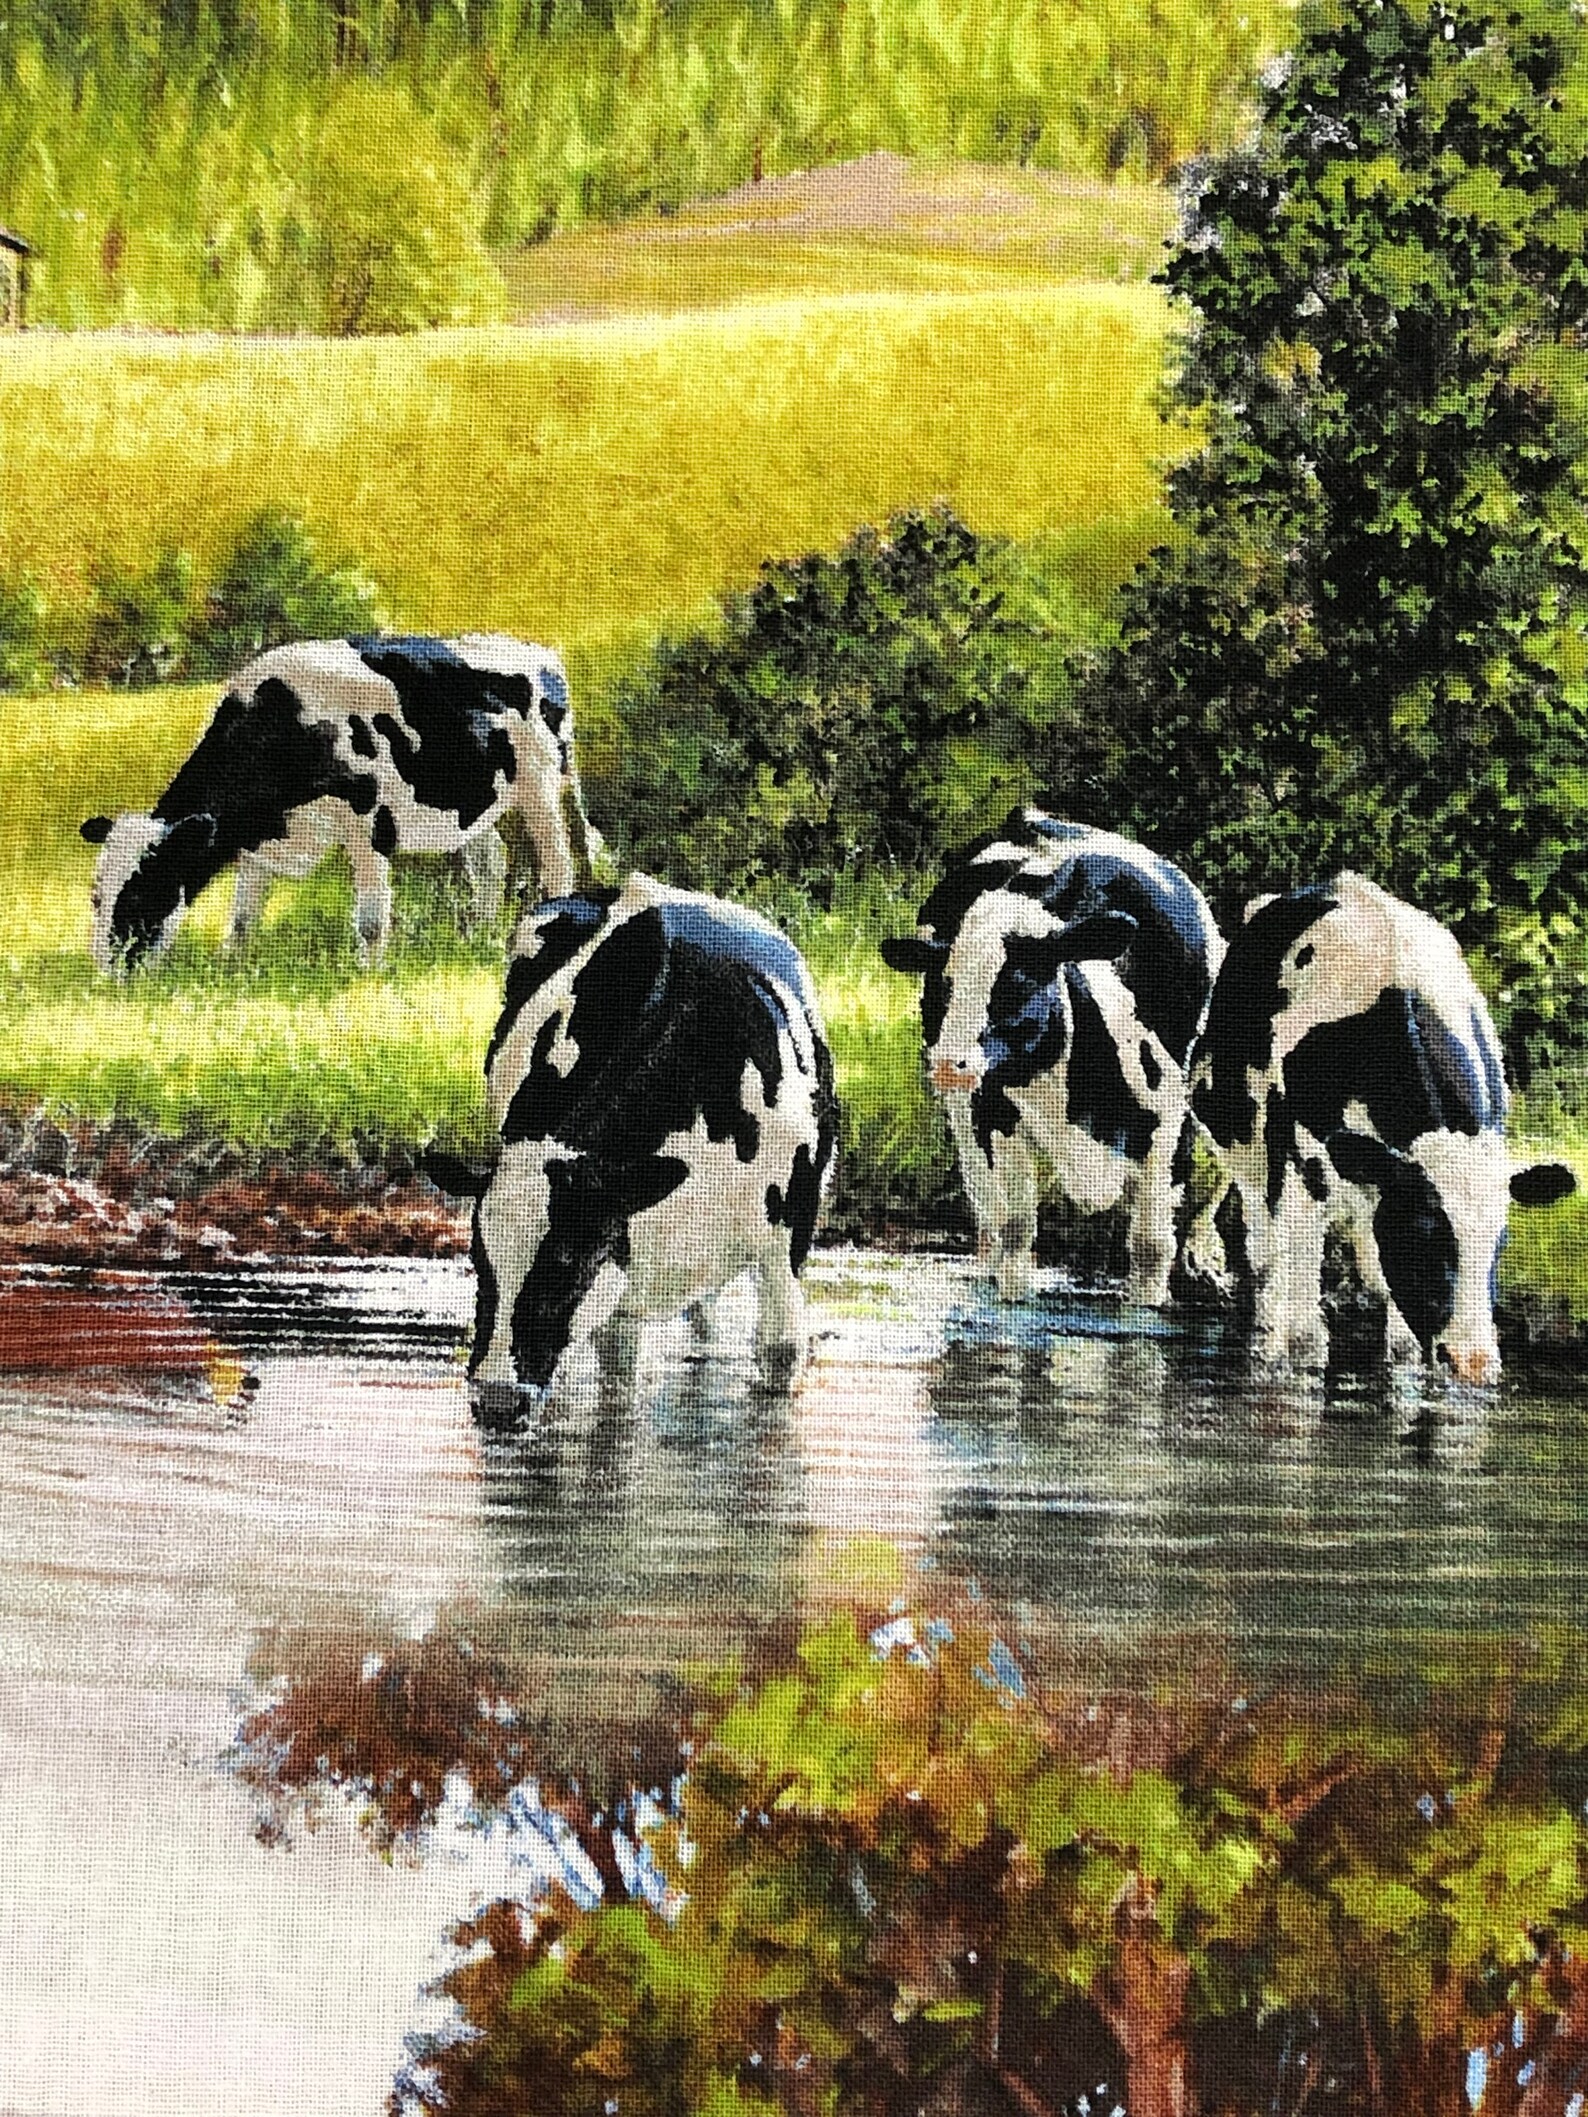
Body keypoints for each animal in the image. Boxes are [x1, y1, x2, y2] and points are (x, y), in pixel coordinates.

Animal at [80, 633, 593, 972]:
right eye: (95, 896)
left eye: (140, 892)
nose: (107, 973)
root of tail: (540, 653)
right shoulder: (260, 839)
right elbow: (243, 915)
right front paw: (231, 962)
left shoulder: (369, 822)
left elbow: (369, 920)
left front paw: (368, 974)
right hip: (471, 799)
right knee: (491, 862)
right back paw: (479, 936)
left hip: (541, 787)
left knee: (557, 864)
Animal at [426, 874, 839, 1419]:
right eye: (478, 1258)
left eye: (570, 1259)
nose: (496, 1399)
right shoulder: (624, 1265)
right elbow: (618, 1378)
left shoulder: (783, 1242)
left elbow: (780, 1357)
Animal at [880, 810, 1224, 1305]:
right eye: (943, 985)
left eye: (1019, 982)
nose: (948, 1063)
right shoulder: (995, 1114)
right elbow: (1017, 1226)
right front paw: (1010, 1295)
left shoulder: (1170, 1124)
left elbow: (1151, 1244)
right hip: (965, 1115)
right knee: (990, 1208)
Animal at [1189, 870, 1576, 1383]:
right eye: (1427, 1235)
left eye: (1501, 1243)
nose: (1471, 1362)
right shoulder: (1302, 1177)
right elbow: (1305, 1337)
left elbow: (1404, 1348)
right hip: (1243, 1146)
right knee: (1264, 1254)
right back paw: (1261, 1336)